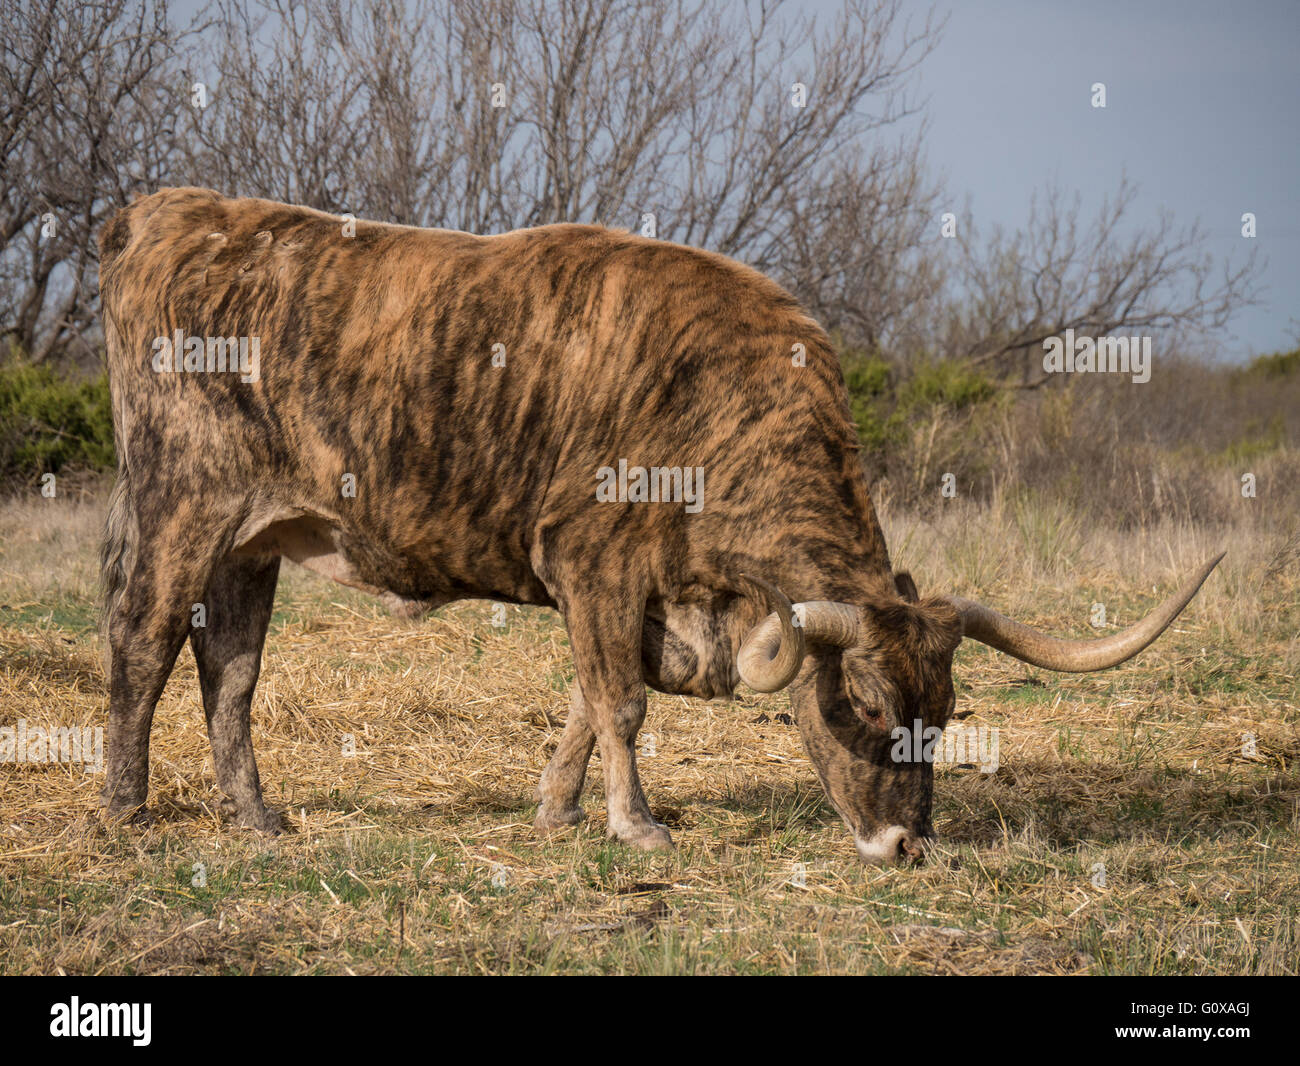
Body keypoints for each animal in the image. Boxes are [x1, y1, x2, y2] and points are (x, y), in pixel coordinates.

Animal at [97, 187, 1222, 863]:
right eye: (861, 706)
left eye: (942, 714)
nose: (907, 845)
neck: (722, 399)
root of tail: (172, 210)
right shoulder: (590, 556)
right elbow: (623, 703)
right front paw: (634, 825)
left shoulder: (629, 594)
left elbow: (591, 700)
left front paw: (558, 806)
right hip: (182, 505)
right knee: (144, 641)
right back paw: (127, 804)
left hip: (250, 541)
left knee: (231, 669)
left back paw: (255, 815)